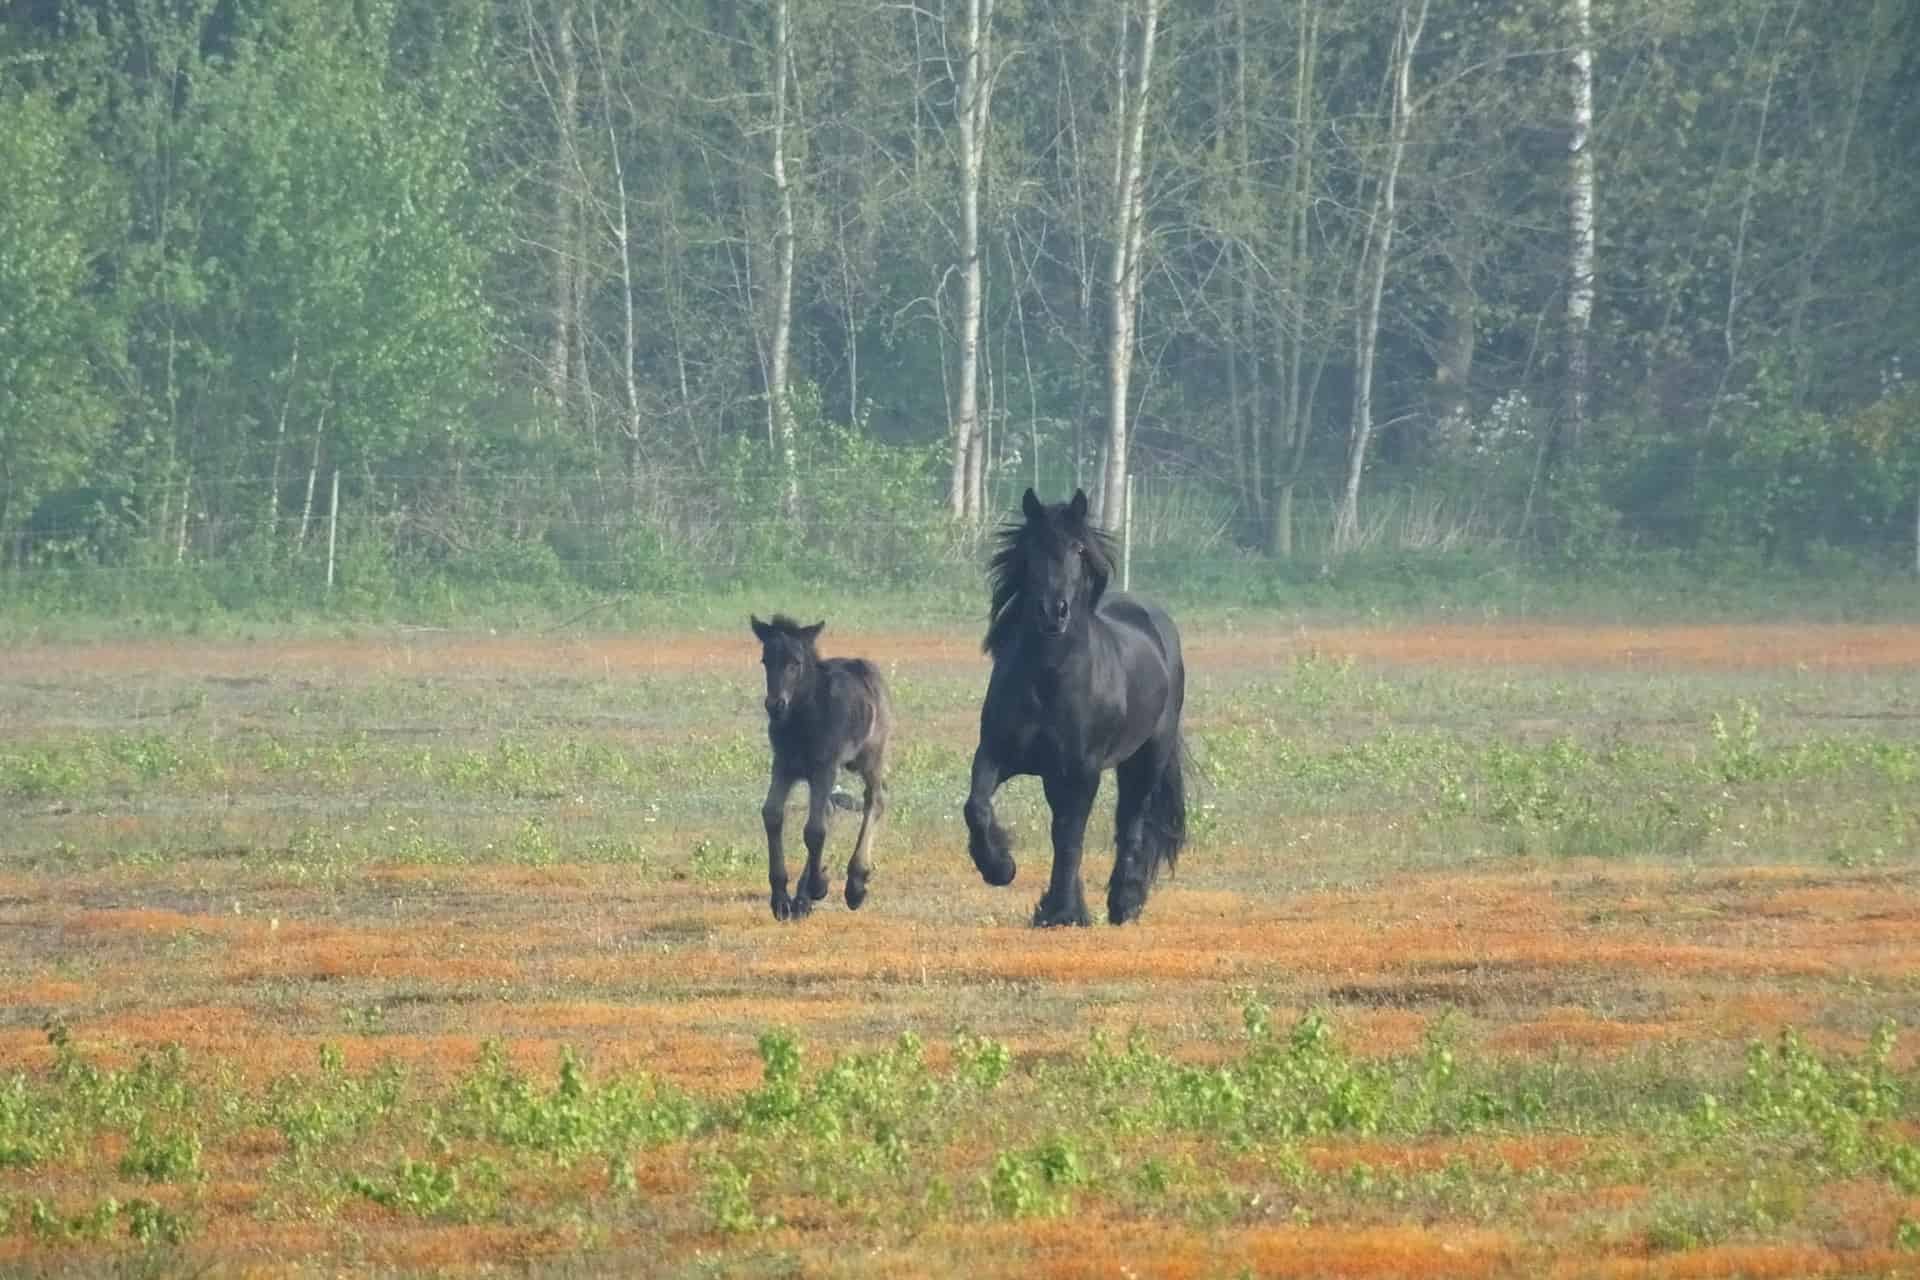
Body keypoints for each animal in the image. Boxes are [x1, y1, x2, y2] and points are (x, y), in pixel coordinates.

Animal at [750, 614, 892, 921]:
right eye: (765, 660)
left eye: (795, 662)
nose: (775, 705)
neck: (802, 720)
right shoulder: (783, 765)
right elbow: (772, 814)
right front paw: (781, 899)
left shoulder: (824, 767)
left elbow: (814, 830)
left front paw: (818, 886)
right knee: (830, 808)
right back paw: (803, 899)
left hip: (871, 755)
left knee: (874, 800)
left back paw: (854, 885)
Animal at [962, 487, 1188, 926]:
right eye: (1032, 547)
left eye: (1079, 549)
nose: (1054, 611)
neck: (1048, 679)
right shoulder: (999, 754)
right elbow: (977, 807)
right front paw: (1000, 867)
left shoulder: (1082, 771)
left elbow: (1070, 838)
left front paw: (1063, 911)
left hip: (1146, 759)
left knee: (1131, 824)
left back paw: (1124, 902)